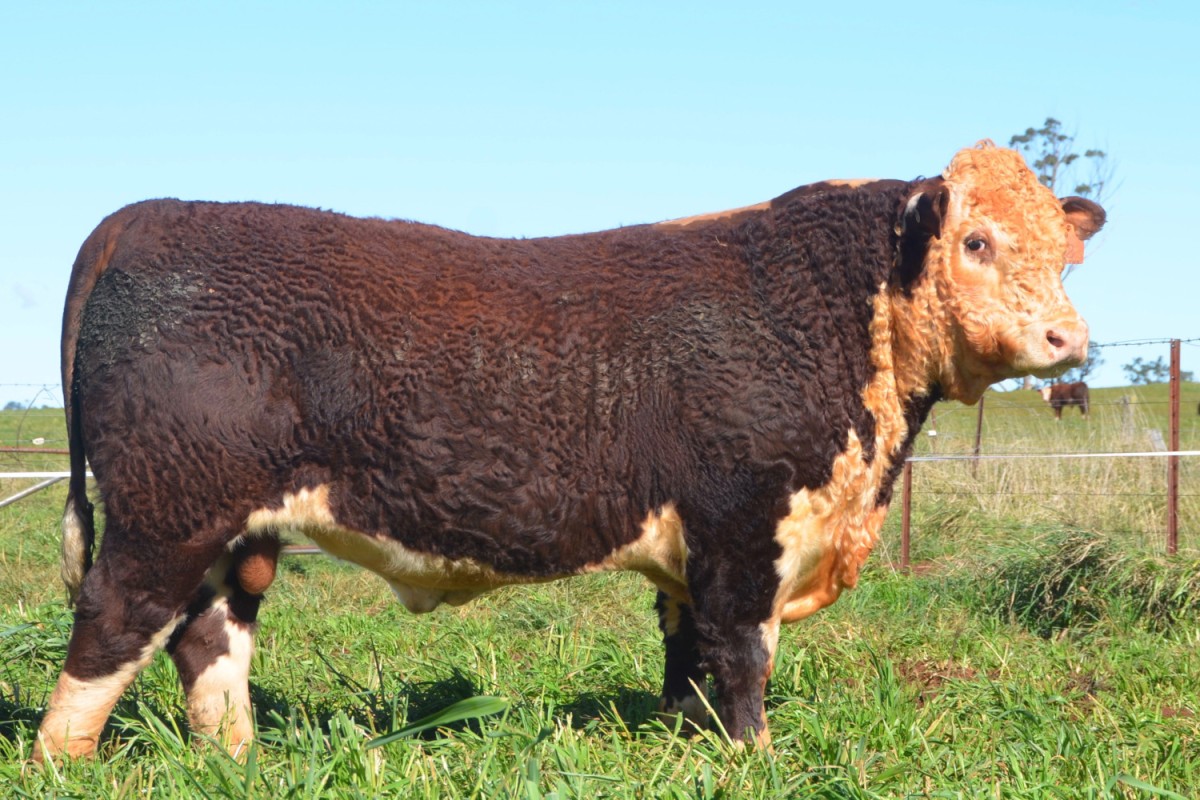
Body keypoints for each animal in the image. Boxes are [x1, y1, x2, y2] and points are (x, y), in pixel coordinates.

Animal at [34, 142, 1104, 761]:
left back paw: (237, 762)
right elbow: (742, 658)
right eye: (975, 241)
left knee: (208, 635)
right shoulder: (743, 528)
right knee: (113, 623)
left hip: (232, 530)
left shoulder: (692, 548)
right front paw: (753, 762)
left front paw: (689, 749)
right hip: (165, 511)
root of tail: (152, 213)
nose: (1068, 337)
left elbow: (687, 662)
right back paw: (65, 762)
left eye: (1066, 251)